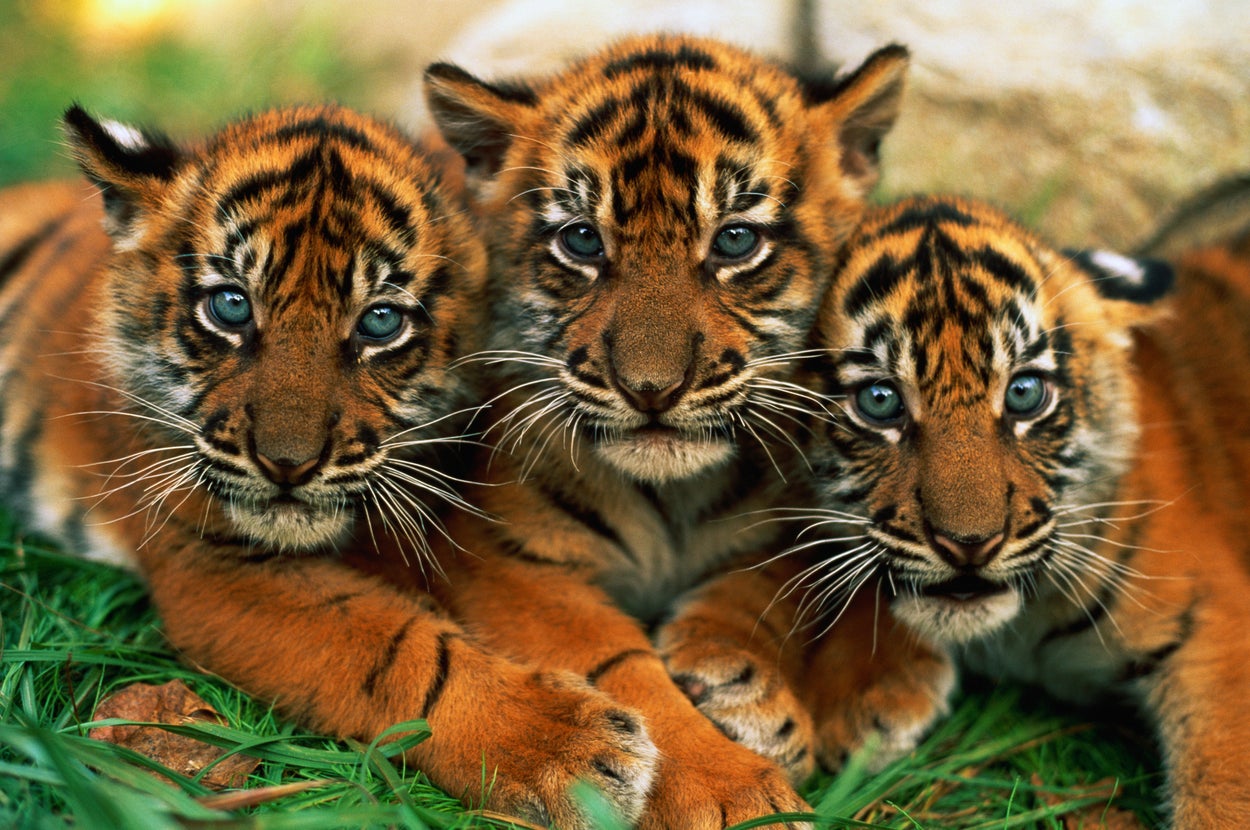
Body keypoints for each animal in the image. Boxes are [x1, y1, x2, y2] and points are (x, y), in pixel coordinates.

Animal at [0, 104, 680, 826]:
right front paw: (570, 752)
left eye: (379, 321)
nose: (286, 464)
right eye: (231, 306)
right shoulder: (211, 563)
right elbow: (395, 652)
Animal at [399, 32, 911, 828]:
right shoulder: (506, 559)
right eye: (582, 240)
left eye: (735, 241)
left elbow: (756, 590)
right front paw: (732, 792)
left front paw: (738, 679)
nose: (651, 389)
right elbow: (621, 667)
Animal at [655, 189, 1250, 827]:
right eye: (880, 401)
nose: (970, 544)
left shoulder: (1216, 635)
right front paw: (730, 664)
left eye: (1024, 394)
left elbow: (1224, 785)